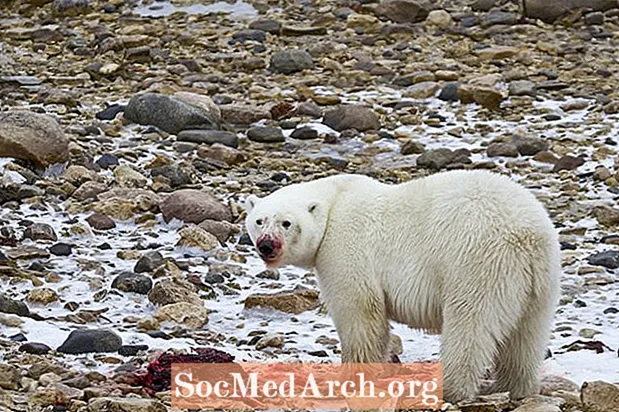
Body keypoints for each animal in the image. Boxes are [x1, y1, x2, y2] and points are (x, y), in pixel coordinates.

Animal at [245, 170, 564, 402]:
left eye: (286, 223)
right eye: (259, 220)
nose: (266, 246)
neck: (336, 200)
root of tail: (528, 235)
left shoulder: (345, 249)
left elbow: (360, 313)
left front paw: (349, 378)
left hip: (477, 264)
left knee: (470, 326)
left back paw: (450, 387)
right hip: (541, 281)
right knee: (528, 334)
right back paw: (513, 385)